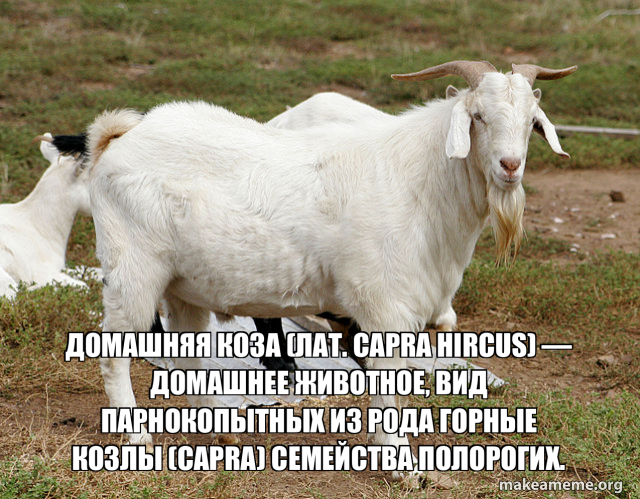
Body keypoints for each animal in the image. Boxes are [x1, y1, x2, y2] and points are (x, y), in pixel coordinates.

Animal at [85, 60, 575, 478]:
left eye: (532, 122)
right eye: (478, 116)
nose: (510, 167)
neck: (421, 184)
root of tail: (118, 138)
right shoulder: (383, 304)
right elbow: (389, 384)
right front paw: (401, 464)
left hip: (183, 285)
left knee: (187, 352)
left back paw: (220, 431)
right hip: (133, 271)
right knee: (113, 354)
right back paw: (136, 438)